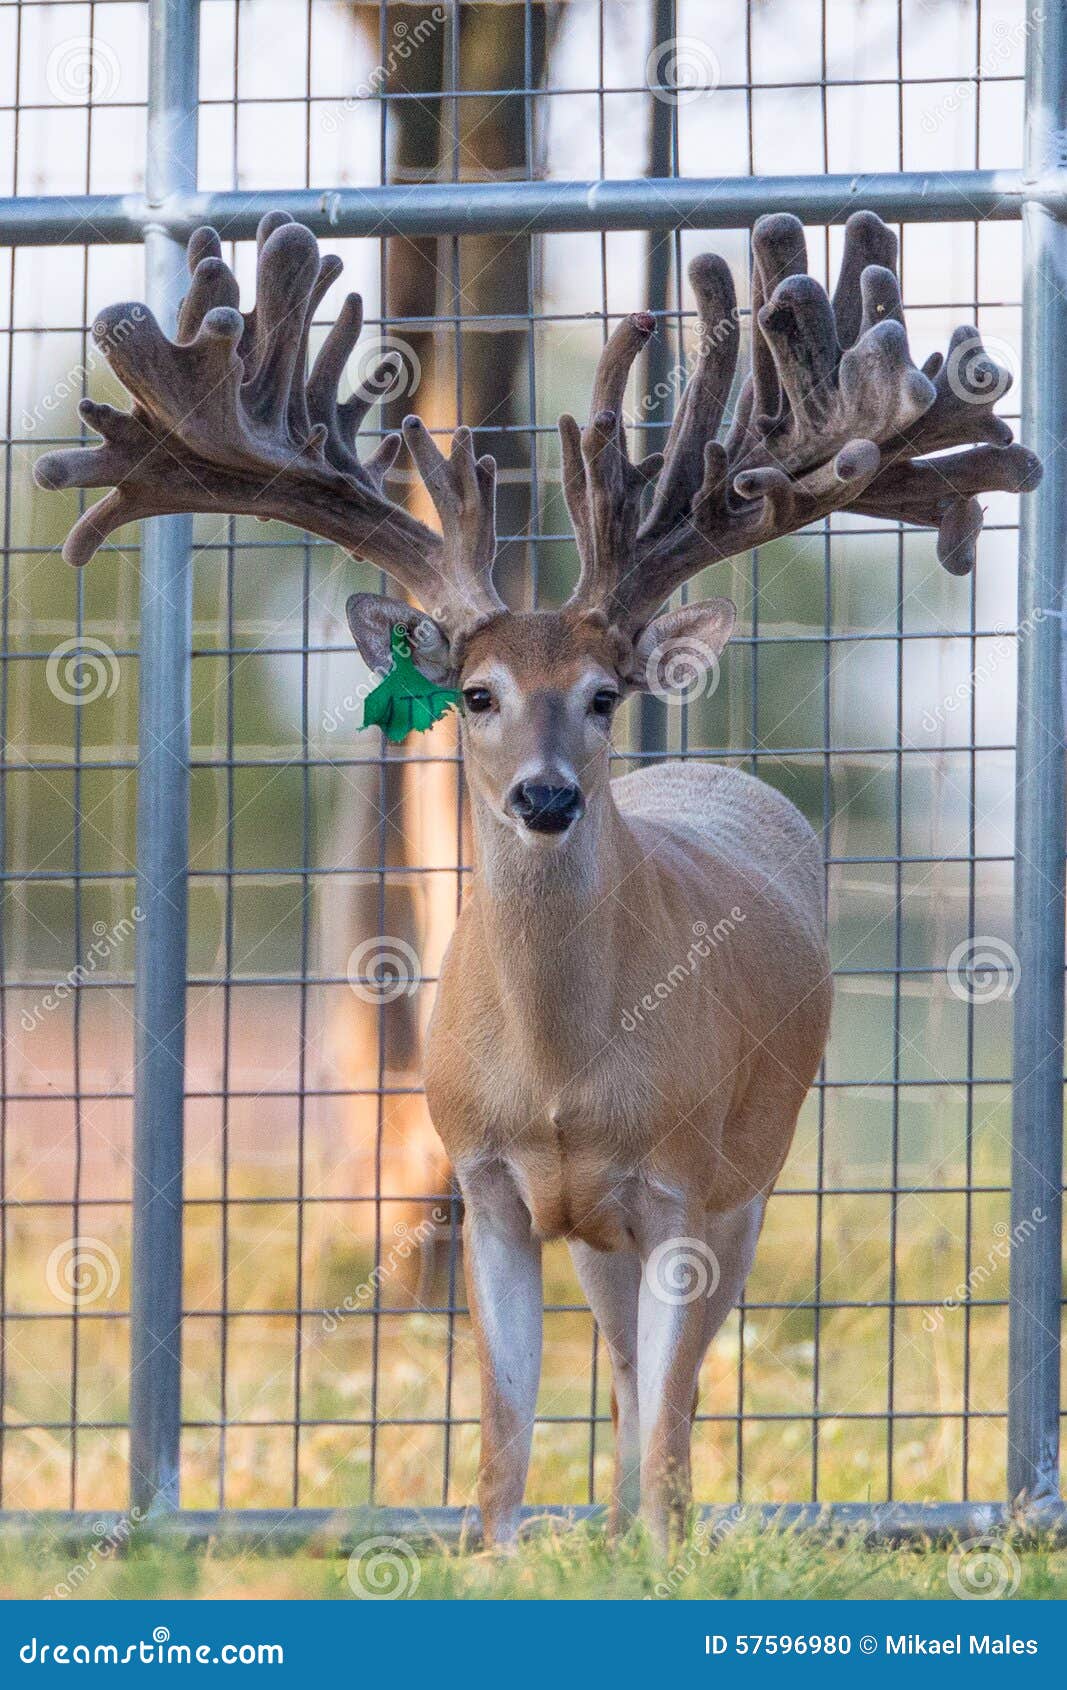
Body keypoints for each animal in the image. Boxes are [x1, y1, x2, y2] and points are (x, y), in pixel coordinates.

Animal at [35, 207, 1039, 1550]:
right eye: (474, 693)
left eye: (605, 694)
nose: (547, 798)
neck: (565, 1078)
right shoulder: (486, 1184)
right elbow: (504, 1432)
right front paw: (493, 1551)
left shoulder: (681, 1183)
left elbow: (665, 1419)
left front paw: (661, 1550)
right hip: (599, 1228)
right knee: (614, 1367)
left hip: (750, 1173)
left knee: (667, 1383)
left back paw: (645, 1526)